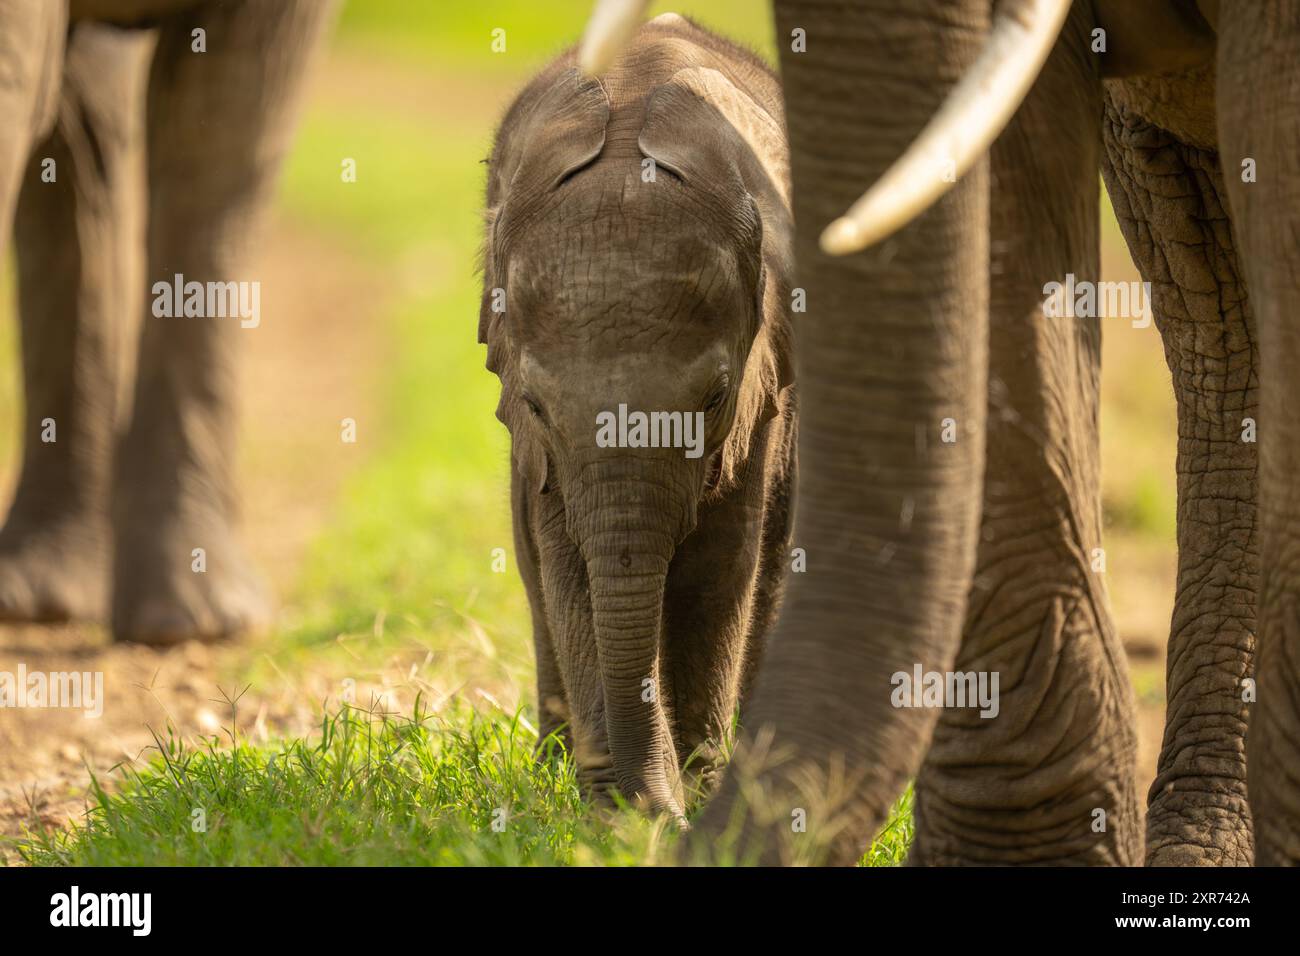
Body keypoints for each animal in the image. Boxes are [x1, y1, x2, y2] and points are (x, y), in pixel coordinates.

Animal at [479, 14, 796, 818]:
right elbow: (566, 560)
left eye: (713, 400)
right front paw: (609, 816)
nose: (653, 810)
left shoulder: (764, 395)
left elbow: (722, 563)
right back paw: (554, 766)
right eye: (535, 405)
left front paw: (699, 796)